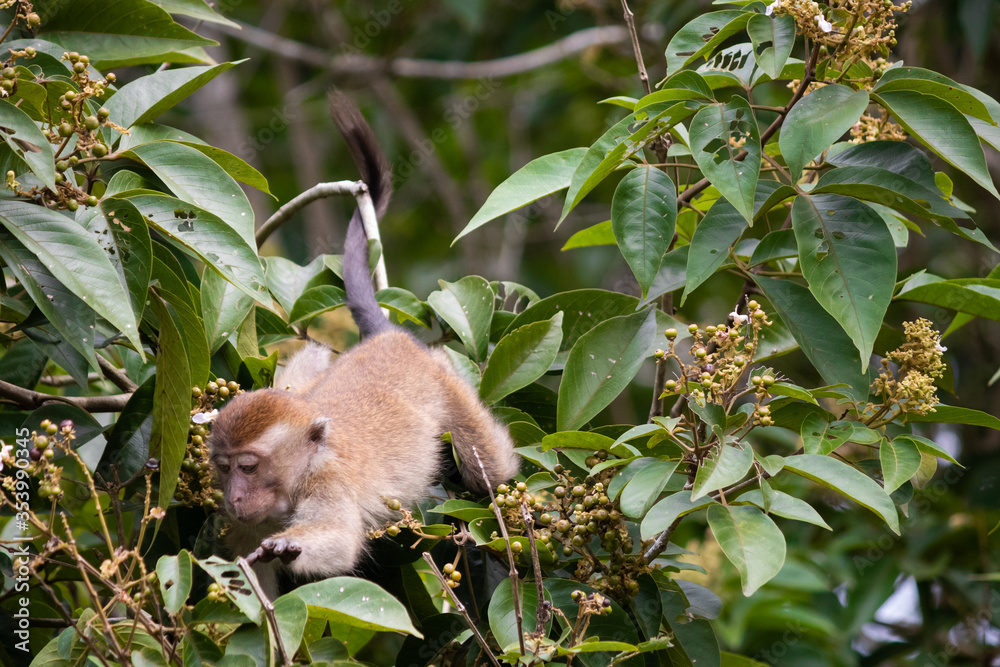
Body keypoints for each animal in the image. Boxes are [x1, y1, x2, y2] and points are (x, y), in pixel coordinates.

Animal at [208, 93, 520, 596]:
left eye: (249, 467)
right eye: (223, 467)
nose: (234, 496)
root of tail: (389, 339)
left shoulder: (327, 480)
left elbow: (338, 539)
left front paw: (291, 546)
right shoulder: (248, 521)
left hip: (446, 384)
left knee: (490, 469)